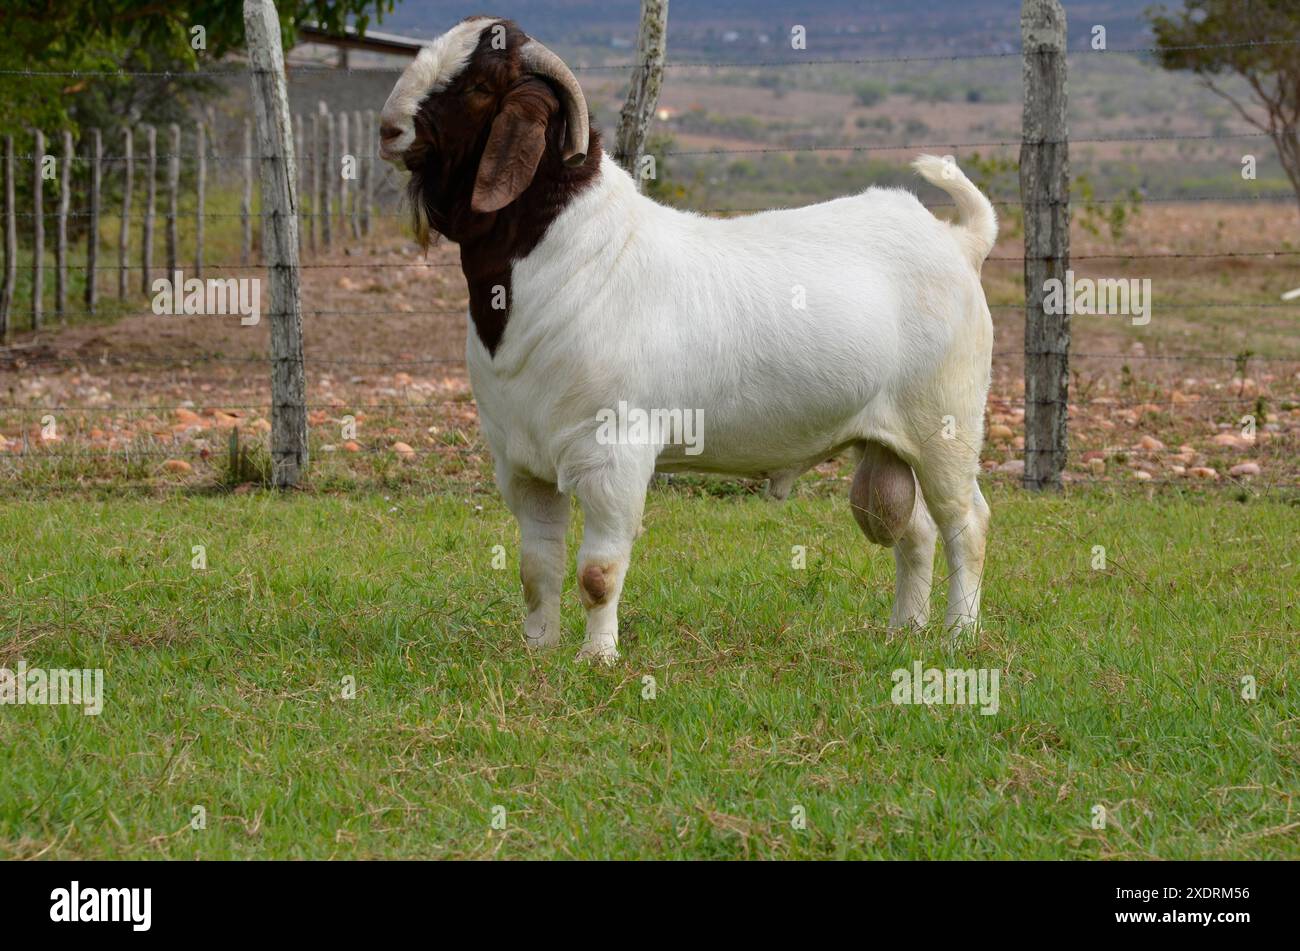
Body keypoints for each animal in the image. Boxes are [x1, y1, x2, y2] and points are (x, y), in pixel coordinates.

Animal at [379, 16, 997, 662]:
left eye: (478, 86)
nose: (388, 129)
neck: (574, 254)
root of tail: (959, 241)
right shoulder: (521, 462)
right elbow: (536, 569)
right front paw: (538, 651)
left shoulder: (615, 453)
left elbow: (597, 572)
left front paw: (597, 659)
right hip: (885, 441)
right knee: (916, 532)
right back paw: (906, 629)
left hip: (946, 426)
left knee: (966, 524)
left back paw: (959, 634)